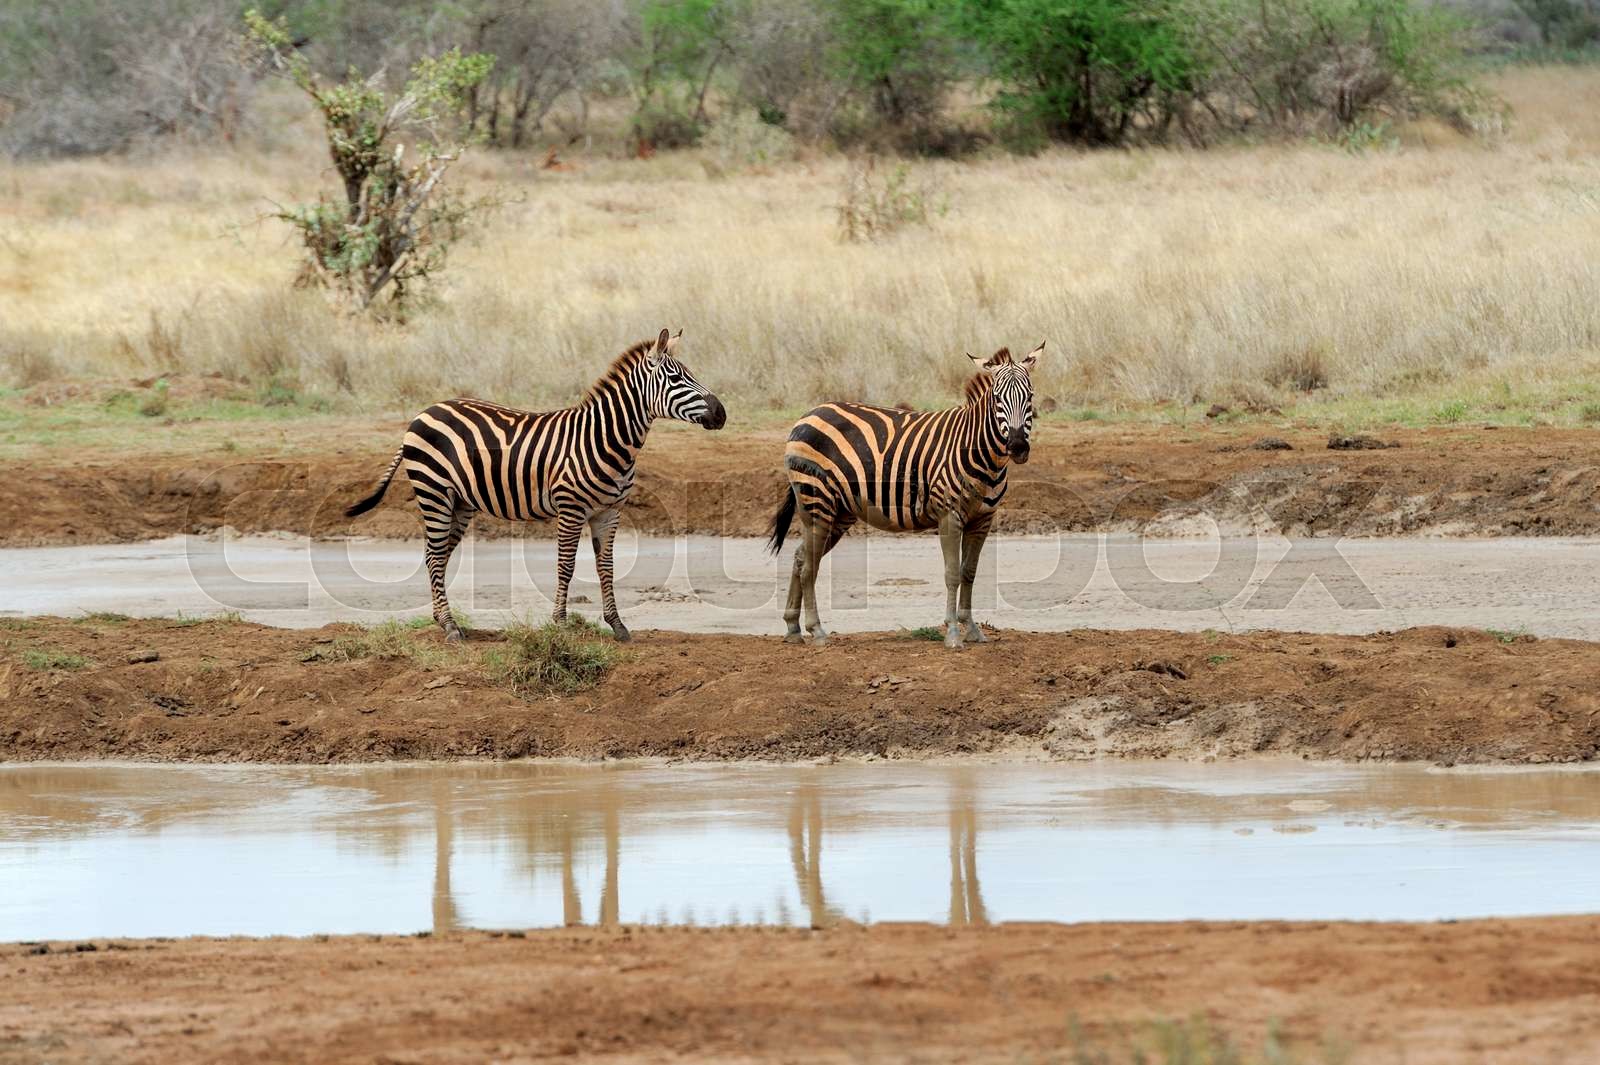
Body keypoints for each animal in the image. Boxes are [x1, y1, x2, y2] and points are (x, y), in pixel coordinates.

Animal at [344, 328, 726, 643]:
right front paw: (560, 623)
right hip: (434, 492)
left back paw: (442, 620)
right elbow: (566, 566)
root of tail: (423, 412)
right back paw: (451, 628)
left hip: (460, 503)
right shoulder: (571, 508)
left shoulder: (609, 512)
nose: (722, 414)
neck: (605, 438)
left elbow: (606, 567)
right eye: (676, 378)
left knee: (433, 556)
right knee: (436, 556)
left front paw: (617, 626)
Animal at [766, 342, 1042, 649]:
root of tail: (809, 413)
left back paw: (793, 628)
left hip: (838, 512)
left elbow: (968, 572)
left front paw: (971, 628)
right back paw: (816, 631)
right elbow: (952, 574)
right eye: (996, 399)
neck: (980, 453)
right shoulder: (949, 515)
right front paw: (952, 634)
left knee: (801, 557)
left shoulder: (983, 519)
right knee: (808, 567)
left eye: (1030, 398)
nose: (1018, 447)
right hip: (817, 502)